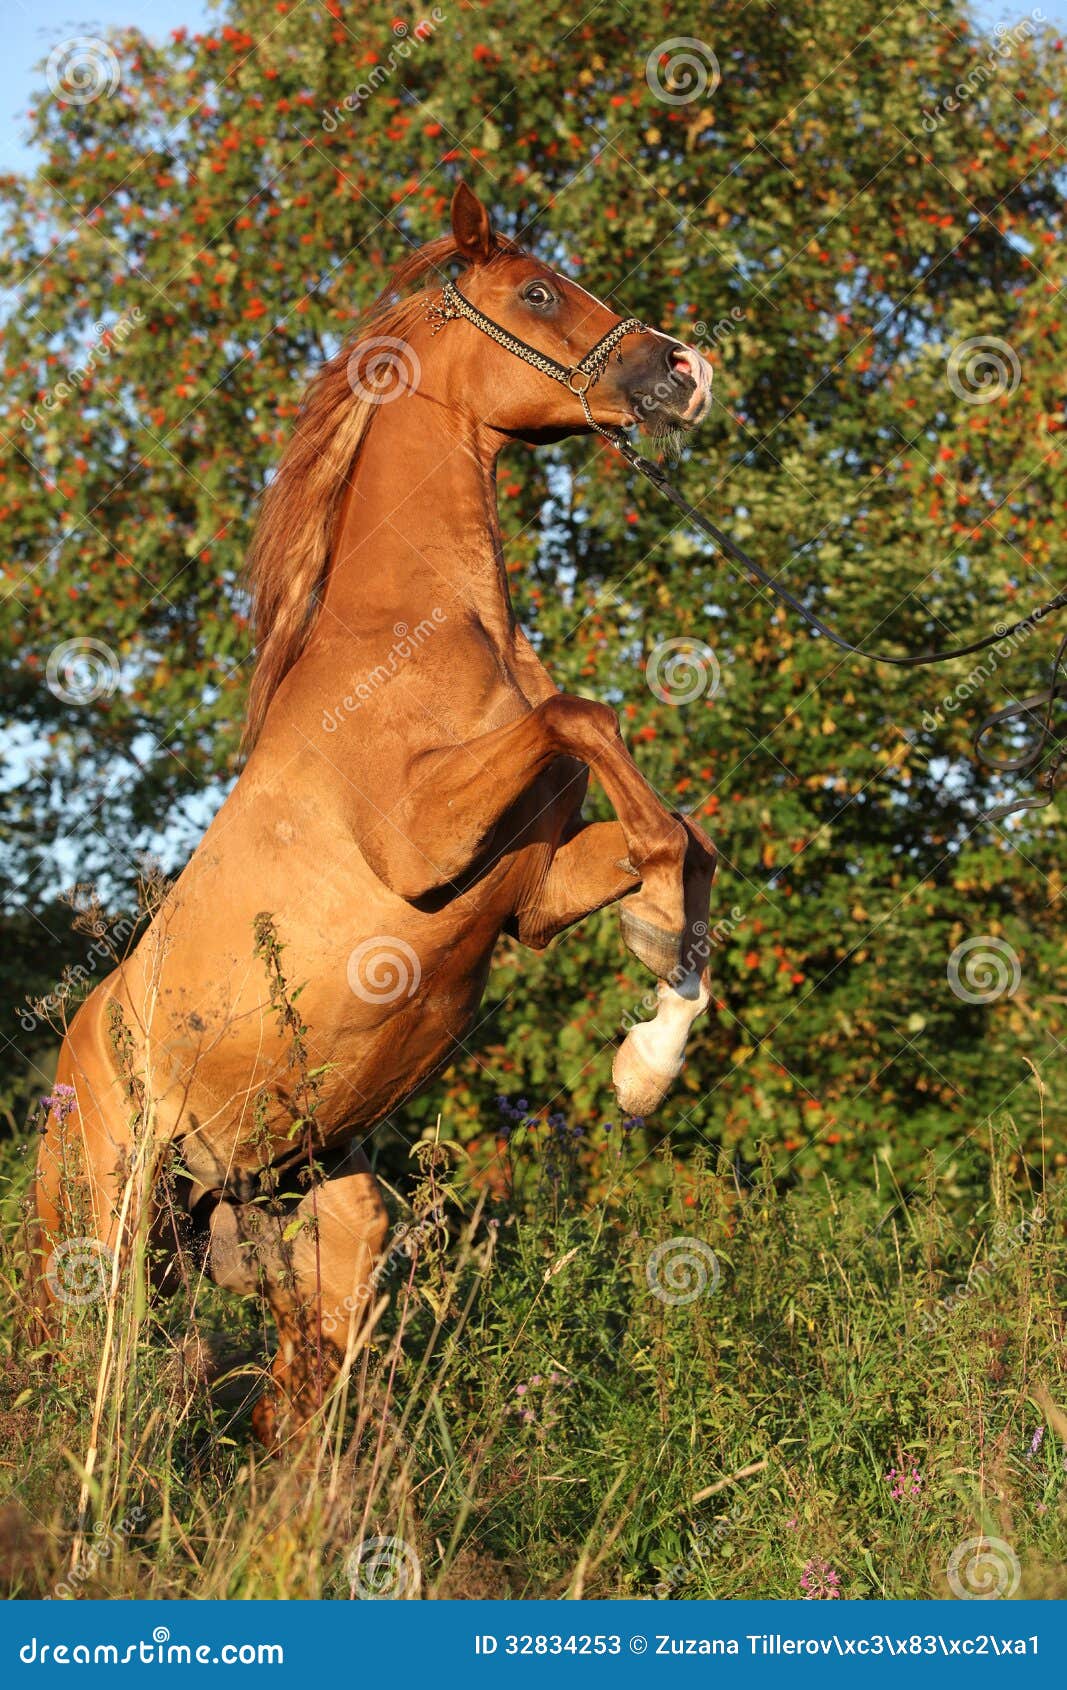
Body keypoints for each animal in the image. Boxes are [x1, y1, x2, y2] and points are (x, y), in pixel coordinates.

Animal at [31, 183, 718, 1449]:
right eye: (536, 289)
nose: (683, 370)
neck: (420, 630)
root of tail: (66, 1078)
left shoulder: (528, 891)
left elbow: (684, 836)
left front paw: (647, 1044)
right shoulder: (421, 843)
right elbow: (590, 719)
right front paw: (646, 1042)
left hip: (316, 1228)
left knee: (298, 1411)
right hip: (106, 1225)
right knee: (87, 1394)